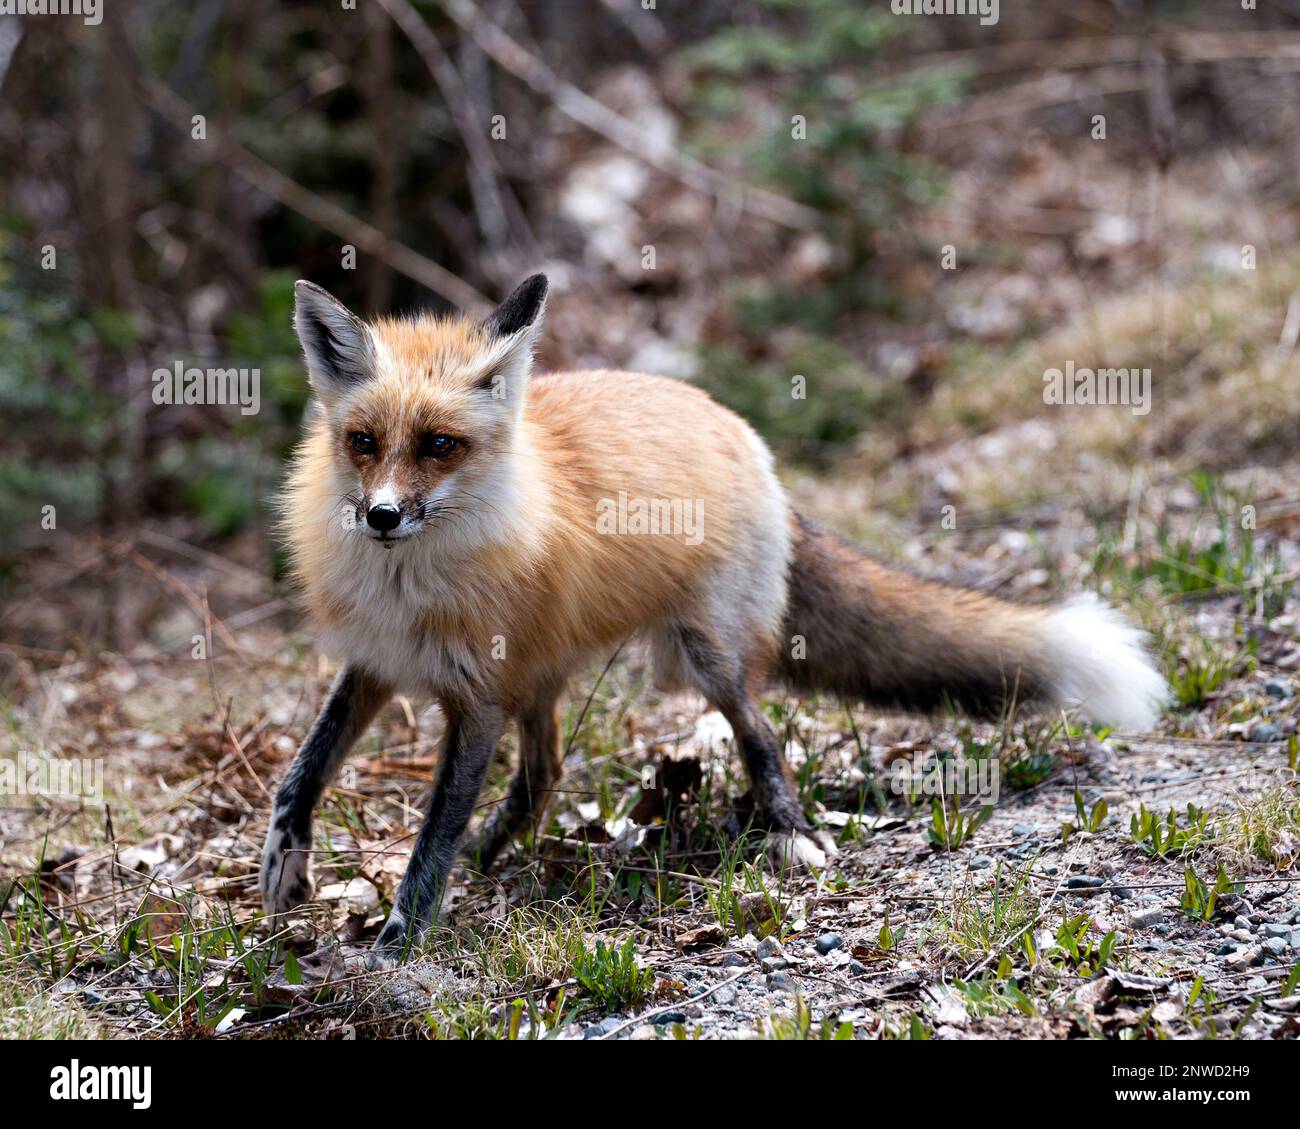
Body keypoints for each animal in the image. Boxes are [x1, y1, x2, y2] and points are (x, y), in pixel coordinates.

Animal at [260, 273, 1167, 960]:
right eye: (364, 441)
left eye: (440, 445)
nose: (381, 516)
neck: (404, 584)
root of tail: (740, 431)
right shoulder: (379, 662)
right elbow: (303, 767)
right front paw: (285, 863)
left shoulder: (476, 698)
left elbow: (430, 837)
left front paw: (401, 934)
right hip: (546, 673)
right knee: (542, 773)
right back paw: (491, 862)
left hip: (704, 658)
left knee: (761, 735)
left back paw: (792, 835)